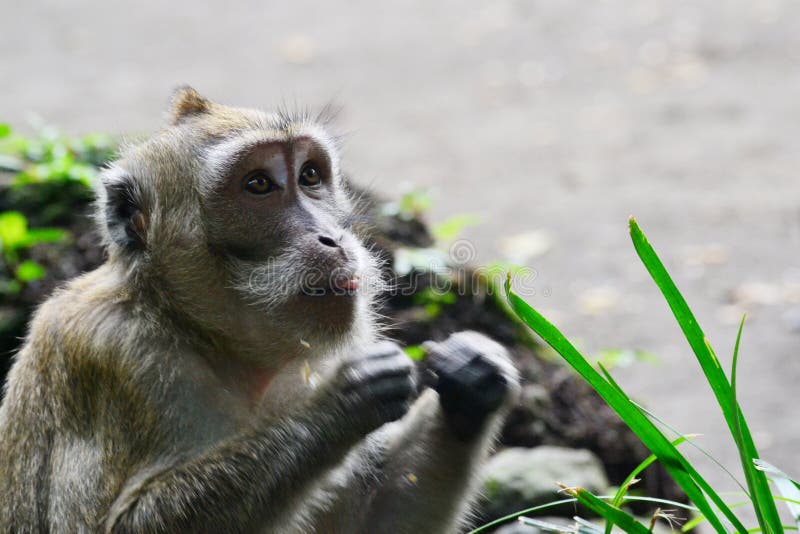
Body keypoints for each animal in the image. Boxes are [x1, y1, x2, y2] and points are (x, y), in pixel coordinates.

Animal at [0, 87, 520, 533]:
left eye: (309, 177)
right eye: (258, 184)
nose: (330, 237)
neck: (203, 334)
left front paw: (472, 378)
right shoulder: (109, 353)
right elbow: (111, 526)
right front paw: (338, 405)